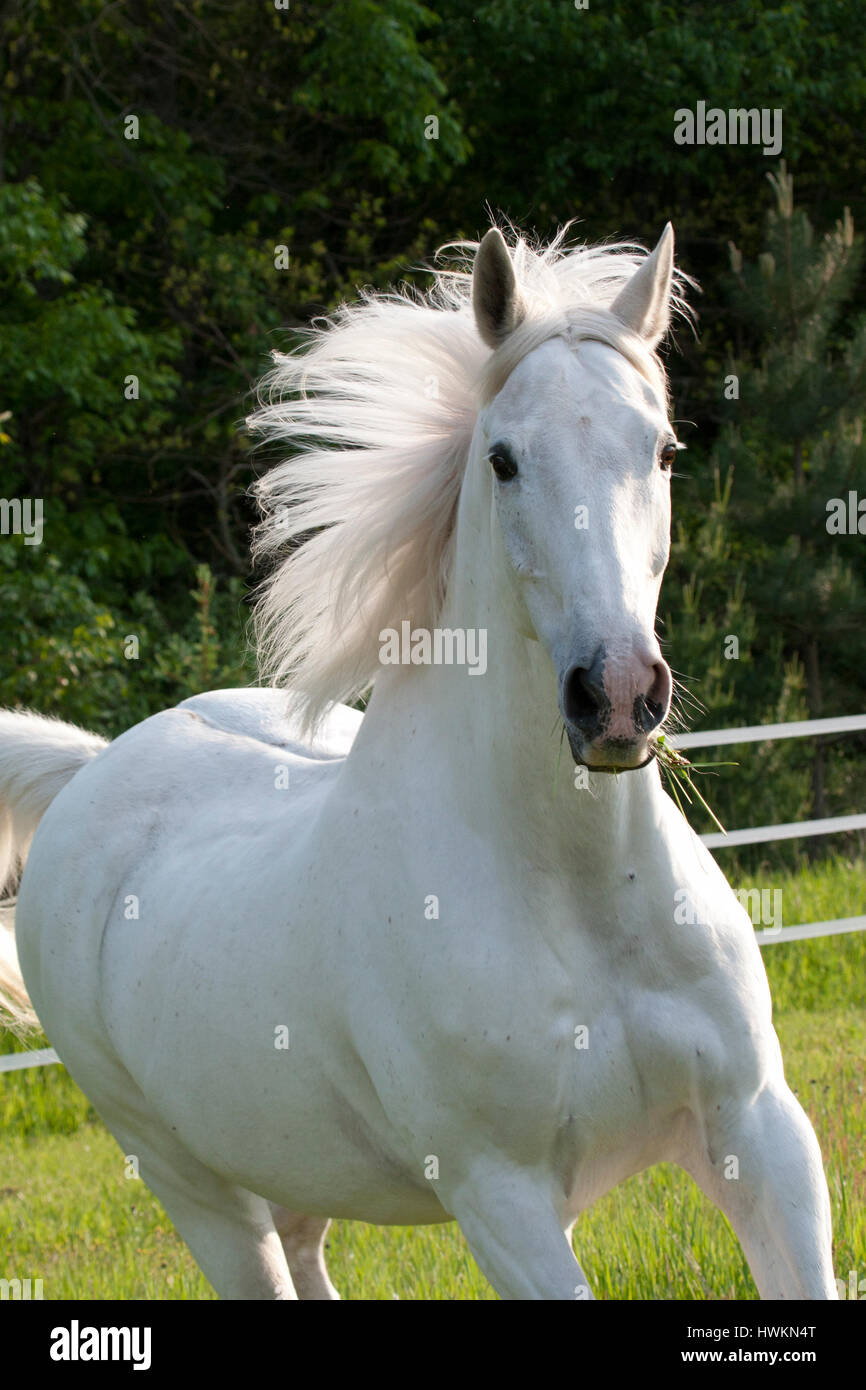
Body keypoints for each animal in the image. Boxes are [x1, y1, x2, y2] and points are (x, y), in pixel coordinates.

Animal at [0, 222, 836, 1300]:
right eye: (503, 460)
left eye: (662, 449)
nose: (615, 695)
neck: (581, 899)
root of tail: (91, 772)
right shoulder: (501, 1199)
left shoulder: (760, 1130)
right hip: (194, 1188)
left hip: (291, 1163)